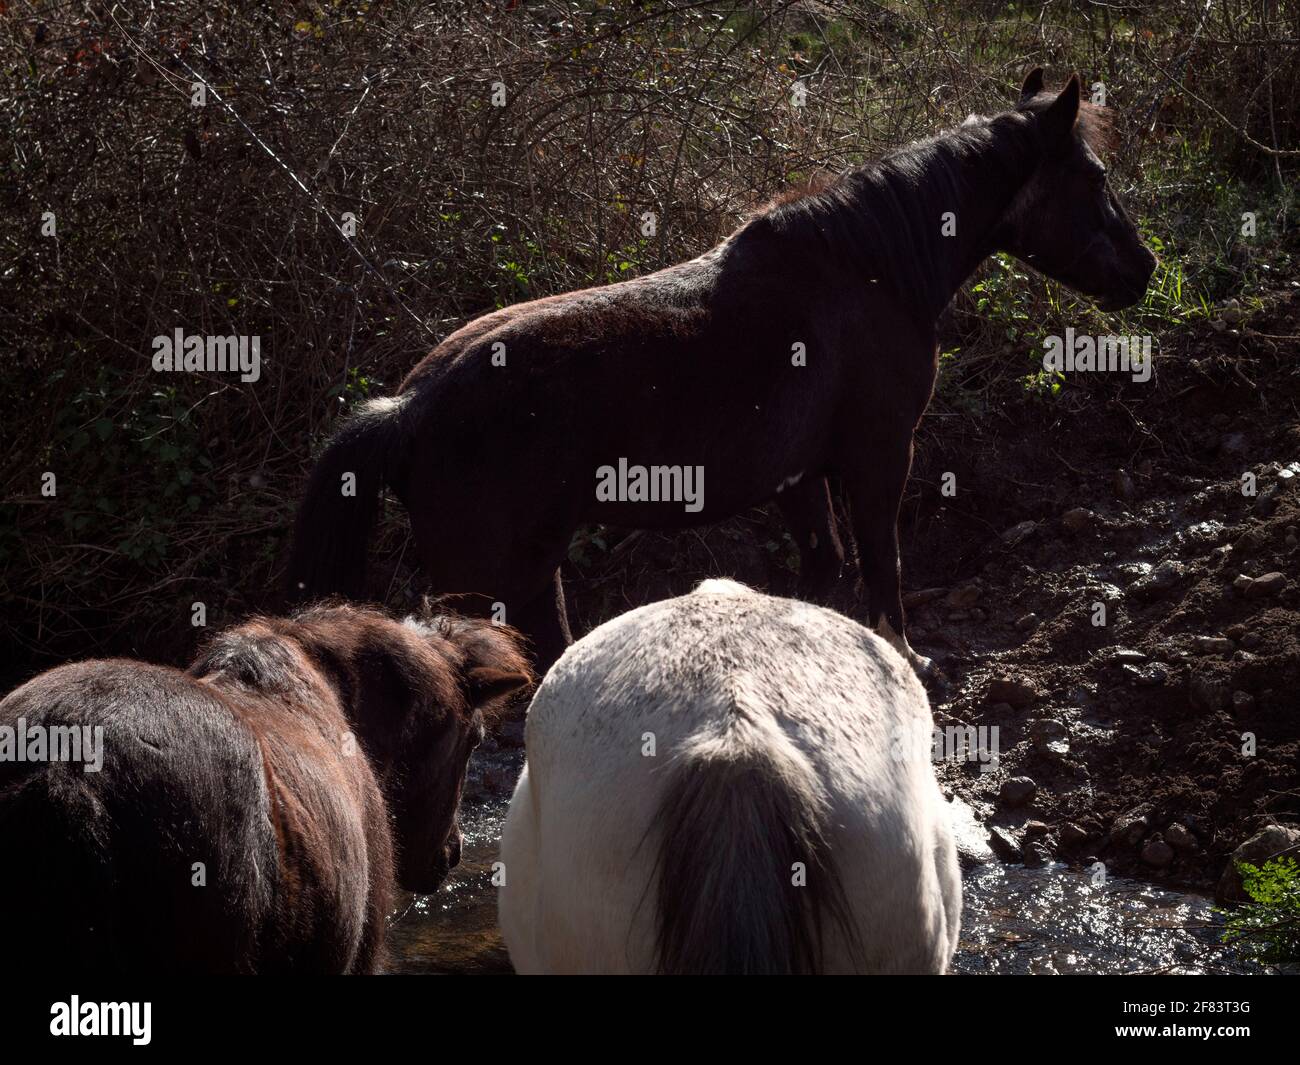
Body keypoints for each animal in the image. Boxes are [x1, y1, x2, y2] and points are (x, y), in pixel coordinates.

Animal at [287, 68, 1156, 676]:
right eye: (1094, 178)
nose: (1144, 270)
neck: (868, 267)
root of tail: (405, 408)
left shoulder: (801, 477)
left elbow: (825, 568)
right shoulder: (878, 459)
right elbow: (883, 564)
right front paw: (906, 657)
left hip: (528, 583)